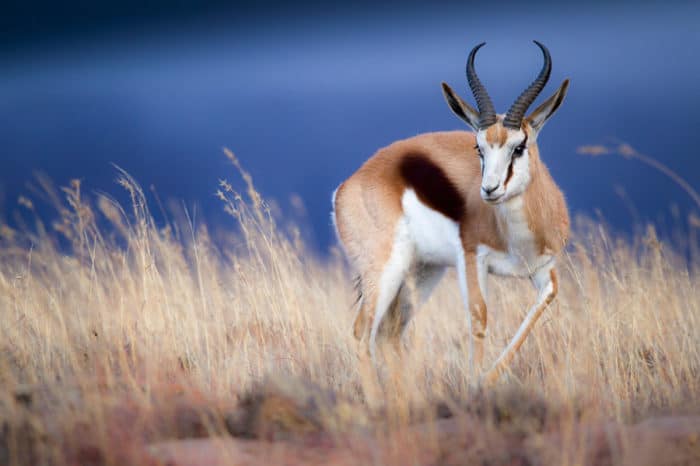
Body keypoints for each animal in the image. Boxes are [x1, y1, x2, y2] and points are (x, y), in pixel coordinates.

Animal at [332, 41, 570, 384]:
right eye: (479, 148)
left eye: (519, 147)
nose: (490, 190)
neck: (516, 238)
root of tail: (349, 184)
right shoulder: (472, 258)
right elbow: (479, 317)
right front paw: (475, 384)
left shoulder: (544, 271)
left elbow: (536, 312)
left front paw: (487, 380)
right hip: (385, 270)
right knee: (363, 333)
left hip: (422, 272)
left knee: (389, 333)